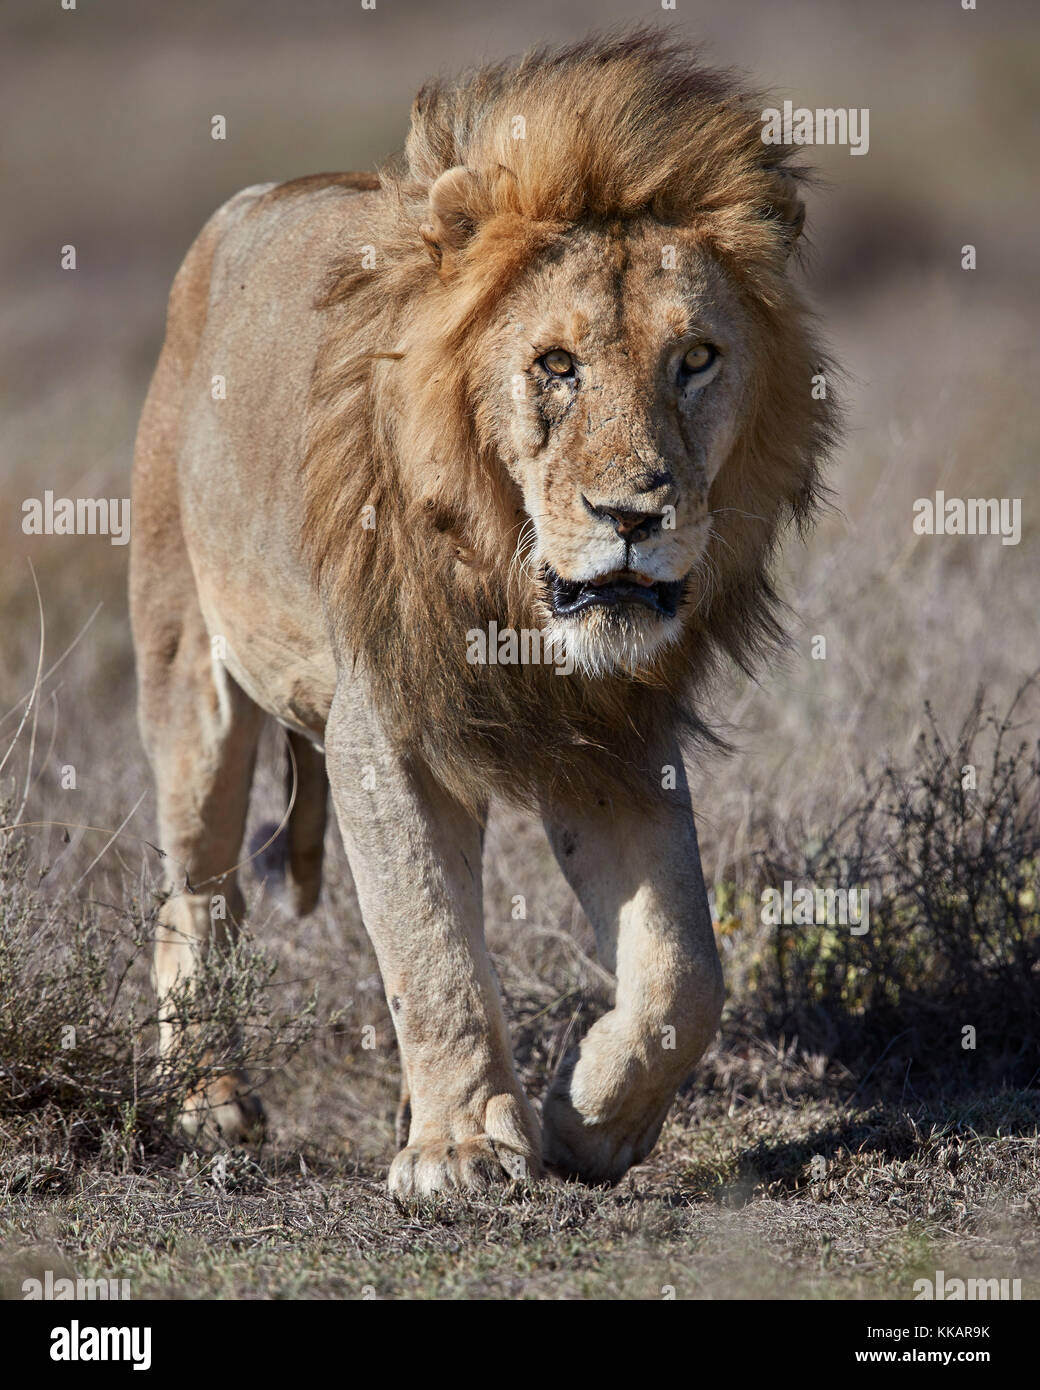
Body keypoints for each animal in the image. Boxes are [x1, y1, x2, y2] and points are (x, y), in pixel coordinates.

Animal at [129, 31, 837, 1197]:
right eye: (556, 365)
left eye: (695, 359)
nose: (632, 516)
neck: (516, 593)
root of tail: (250, 202)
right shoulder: (386, 728)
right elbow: (431, 943)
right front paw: (461, 1147)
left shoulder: (618, 738)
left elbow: (683, 972)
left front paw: (587, 1119)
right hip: (189, 679)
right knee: (195, 897)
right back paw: (208, 1103)